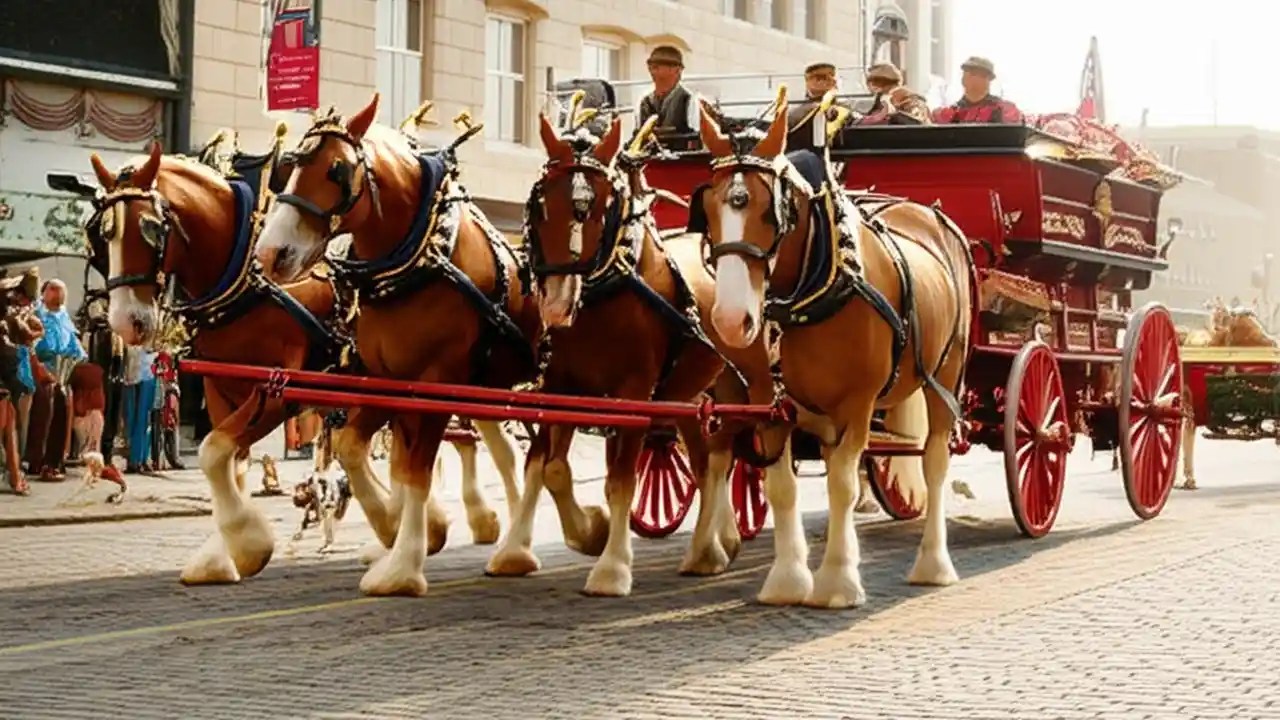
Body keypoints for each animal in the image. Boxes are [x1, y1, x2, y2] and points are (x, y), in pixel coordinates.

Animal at [85, 135, 519, 586]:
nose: (125, 322)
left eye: (150, 229)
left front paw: (248, 543)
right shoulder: (223, 387)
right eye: (98, 239)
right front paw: (224, 554)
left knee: (481, 444)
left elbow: (213, 452)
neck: (244, 275)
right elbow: (227, 463)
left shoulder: (282, 389)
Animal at [255, 94, 543, 596]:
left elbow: (417, 468)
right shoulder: (384, 377)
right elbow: (358, 449)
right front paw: (394, 531)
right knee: (513, 456)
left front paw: (404, 564)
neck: (412, 265)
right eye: (287, 166)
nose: (271, 253)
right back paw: (514, 546)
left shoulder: (437, 382)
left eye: (335, 169)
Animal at [689, 88, 974, 607]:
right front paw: (787, 578)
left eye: (770, 209)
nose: (731, 321)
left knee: (935, 462)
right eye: (710, 208)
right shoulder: (769, 403)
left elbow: (842, 482)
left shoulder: (857, 402)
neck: (814, 282)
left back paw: (933, 563)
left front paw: (838, 579)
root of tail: (928, 213)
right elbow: (781, 486)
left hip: (945, 375)